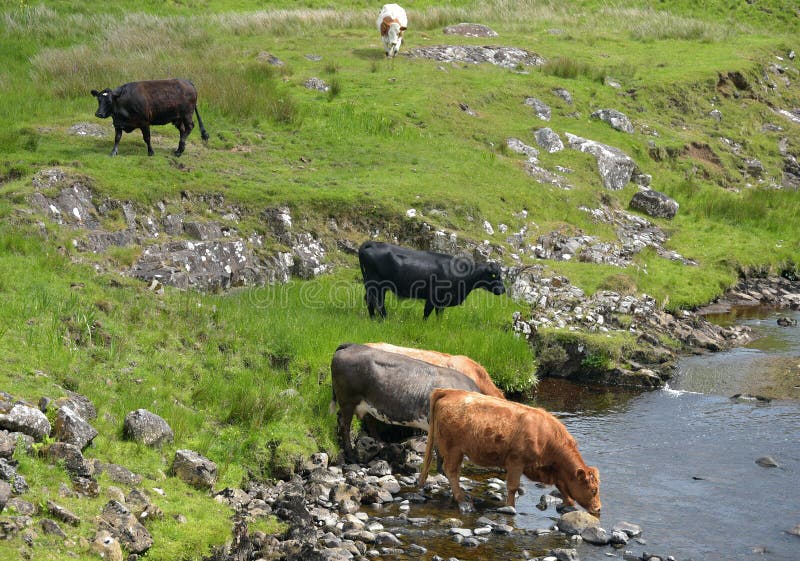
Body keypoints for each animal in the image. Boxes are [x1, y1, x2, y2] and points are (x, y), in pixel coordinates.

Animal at [330, 343, 482, 463]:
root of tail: (352, 345)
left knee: (366, 421)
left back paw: (381, 444)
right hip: (347, 401)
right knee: (344, 425)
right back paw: (350, 454)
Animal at [358, 241, 505, 320]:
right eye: (494, 275)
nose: (503, 290)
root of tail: (372, 243)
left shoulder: (443, 300)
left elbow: (439, 314)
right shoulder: (433, 296)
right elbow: (427, 312)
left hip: (373, 285)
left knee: (370, 300)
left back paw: (373, 319)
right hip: (377, 284)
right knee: (377, 302)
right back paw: (383, 319)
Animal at [419, 389, 601, 515]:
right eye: (593, 490)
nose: (599, 509)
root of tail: (450, 391)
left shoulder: (553, 469)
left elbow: (562, 486)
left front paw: (570, 503)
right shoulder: (516, 461)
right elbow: (513, 487)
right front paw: (510, 507)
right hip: (453, 449)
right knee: (451, 471)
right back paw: (462, 500)